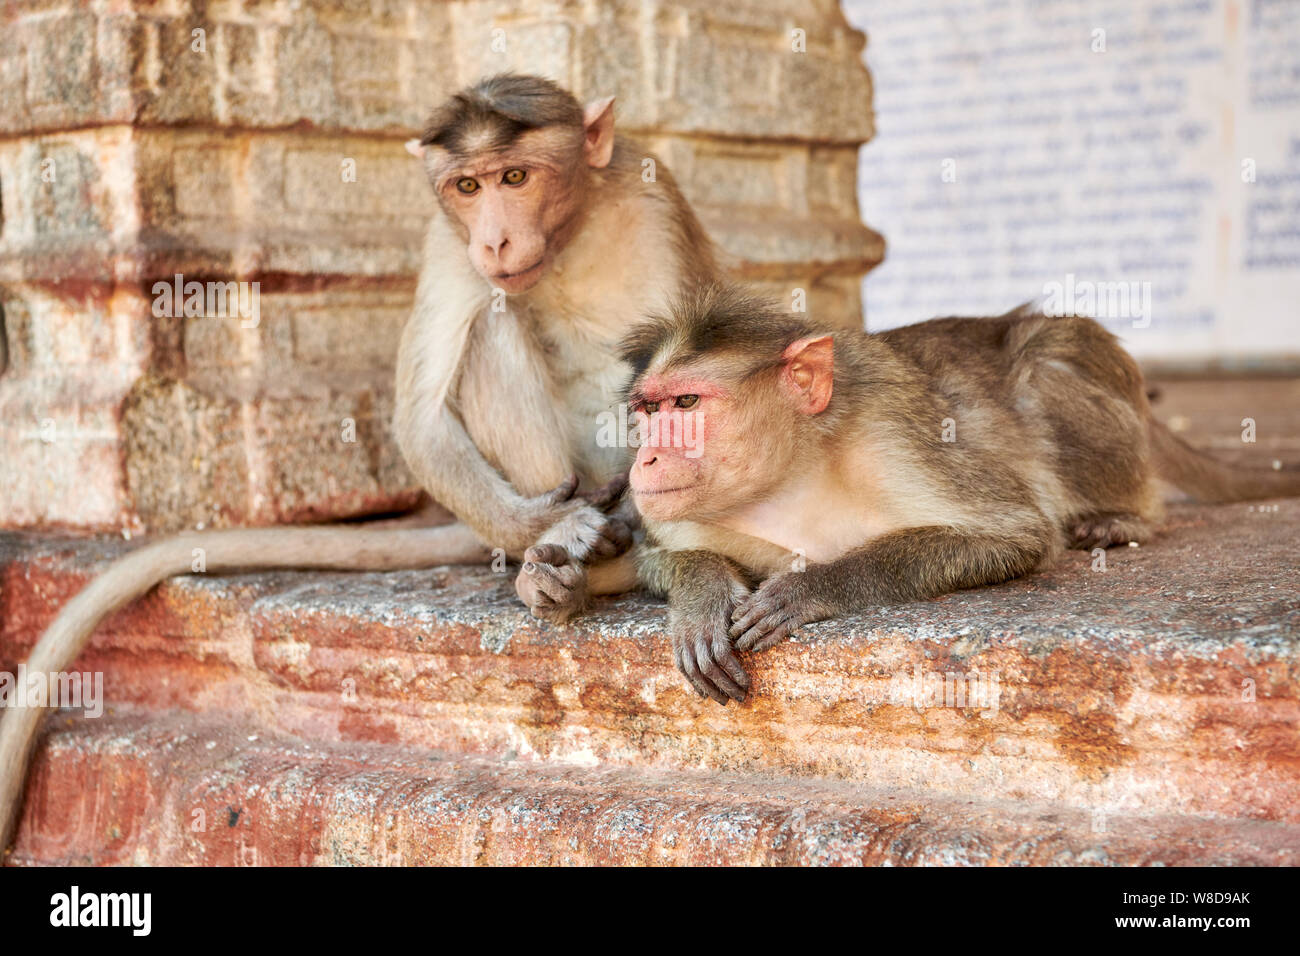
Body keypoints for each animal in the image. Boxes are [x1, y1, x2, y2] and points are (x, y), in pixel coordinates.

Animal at [0, 74, 722, 852]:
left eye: (516, 177)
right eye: (467, 185)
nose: (494, 237)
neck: (564, 240)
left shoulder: (653, 201)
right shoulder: (448, 241)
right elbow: (421, 418)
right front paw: (553, 529)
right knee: (490, 328)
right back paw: (559, 566)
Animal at [617, 282, 1300, 705]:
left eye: (687, 403)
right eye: (647, 410)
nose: (644, 457)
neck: (797, 469)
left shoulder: (896, 439)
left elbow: (1019, 533)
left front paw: (814, 587)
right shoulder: (686, 515)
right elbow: (654, 555)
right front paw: (703, 597)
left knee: (1047, 360)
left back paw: (1124, 515)